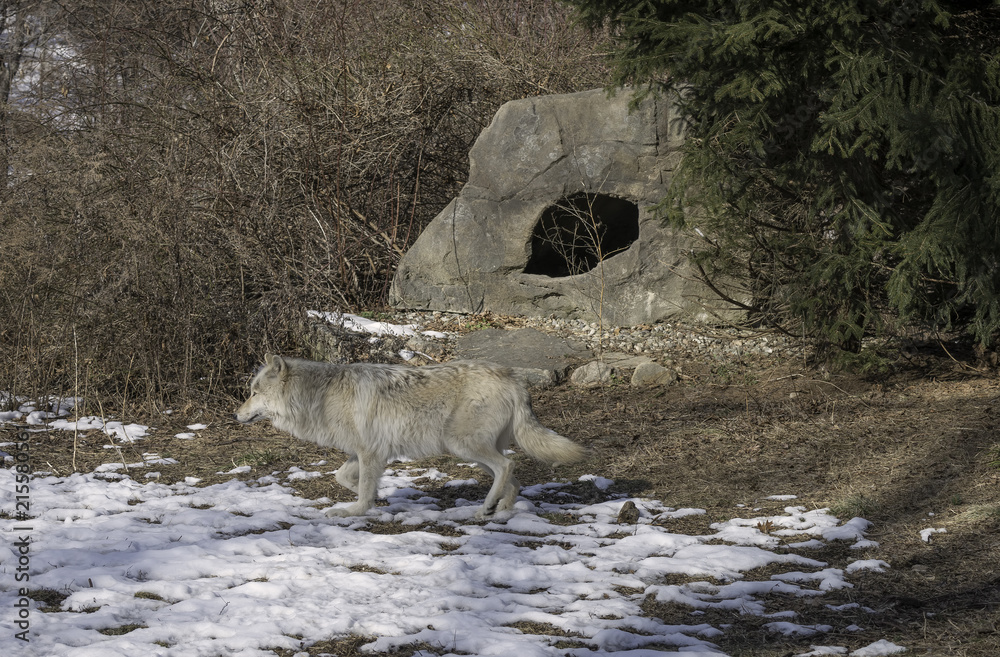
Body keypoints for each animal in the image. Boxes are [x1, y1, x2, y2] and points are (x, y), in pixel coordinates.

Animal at [235, 355, 587, 519]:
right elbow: (343, 477)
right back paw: (501, 510)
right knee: (512, 476)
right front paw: (378, 498)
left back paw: (484, 508)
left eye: (253, 393)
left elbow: (361, 489)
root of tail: (513, 378)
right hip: (474, 453)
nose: (236, 415)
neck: (318, 397)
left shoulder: (370, 453)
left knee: (507, 466)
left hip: (463, 446)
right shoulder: (363, 453)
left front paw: (355, 511)